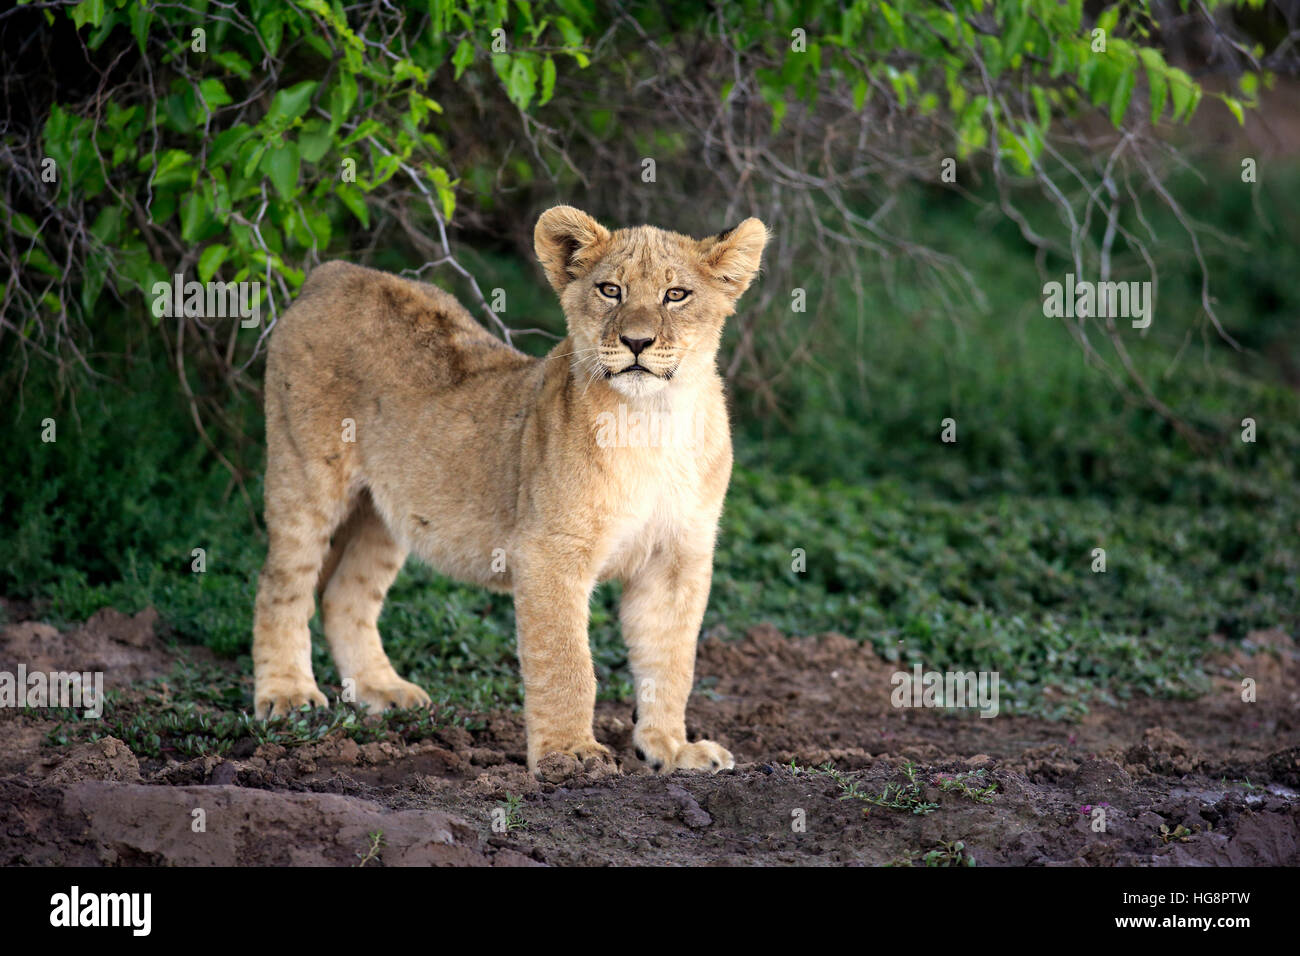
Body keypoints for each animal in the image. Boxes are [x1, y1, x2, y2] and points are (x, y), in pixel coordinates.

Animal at [251, 205, 768, 774]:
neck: (653, 420)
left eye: (676, 295)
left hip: (382, 511)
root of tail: (335, 272)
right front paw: (570, 753)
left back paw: (382, 691)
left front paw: (671, 748)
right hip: (305, 476)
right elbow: (566, 662)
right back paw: (287, 695)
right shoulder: (548, 551)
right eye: (610, 290)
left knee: (345, 594)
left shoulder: (677, 559)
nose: (637, 342)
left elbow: (671, 662)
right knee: (280, 585)